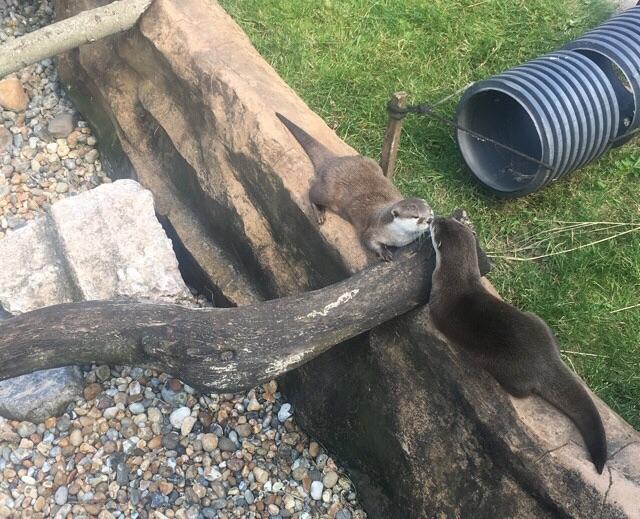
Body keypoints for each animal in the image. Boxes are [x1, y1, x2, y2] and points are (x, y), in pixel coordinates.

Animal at [276, 113, 433, 261]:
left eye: (430, 211)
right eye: (416, 216)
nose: (430, 220)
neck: (398, 238)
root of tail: (334, 161)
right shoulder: (373, 229)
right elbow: (368, 241)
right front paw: (384, 252)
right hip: (327, 192)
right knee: (311, 192)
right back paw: (320, 214)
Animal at [428, 216, 607, 473]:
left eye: (436, 227)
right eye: (446, 220)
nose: (433, 218)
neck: (458, 279)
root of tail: (547, 361)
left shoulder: (436, 302)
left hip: (511, 372)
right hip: (538, 320)